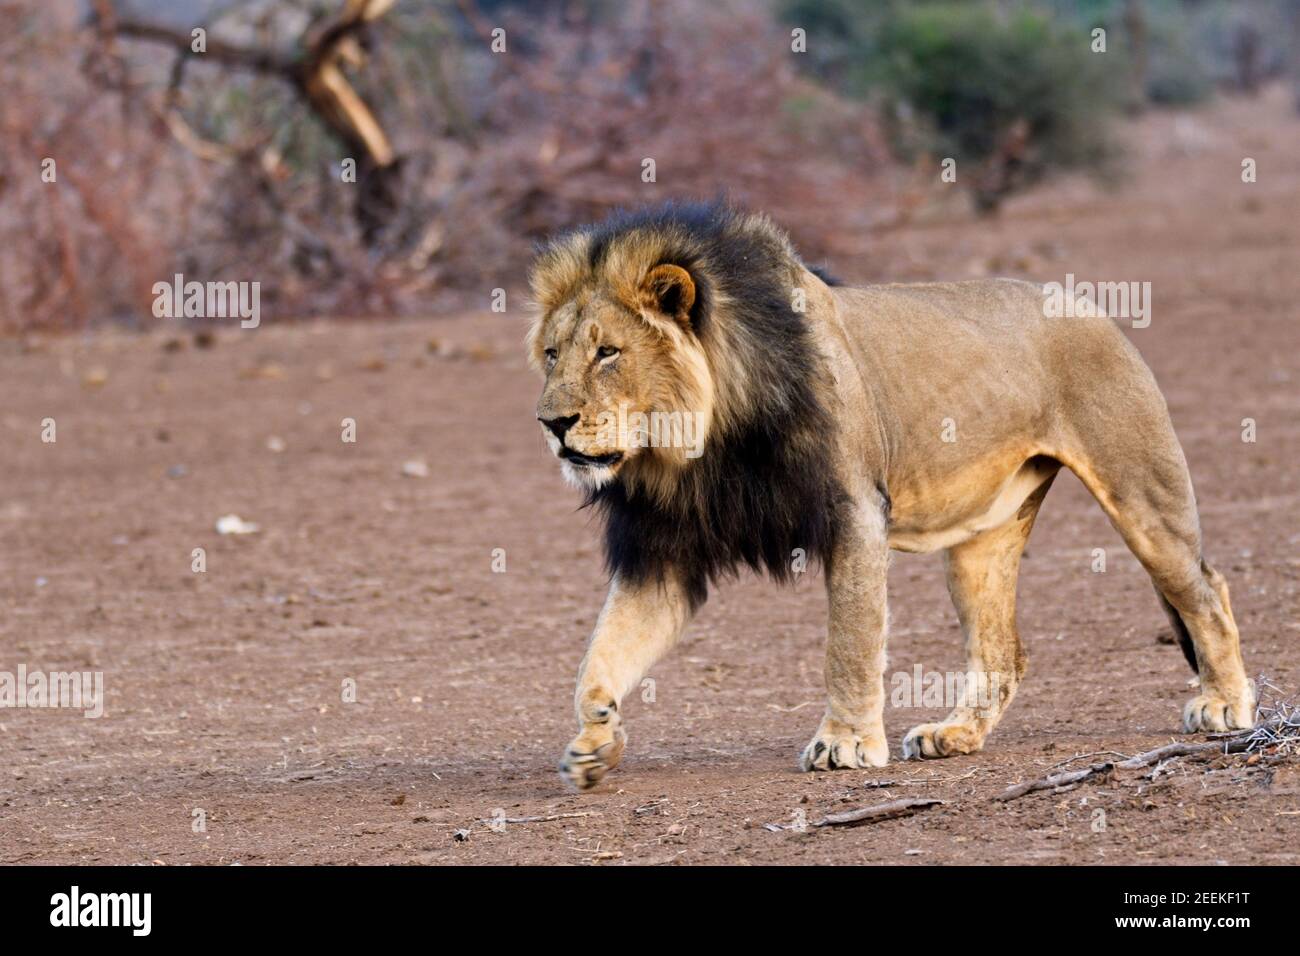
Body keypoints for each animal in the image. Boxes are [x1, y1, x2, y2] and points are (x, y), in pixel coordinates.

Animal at [527, 200, 1253, 790]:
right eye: (553, 354)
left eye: (609, 353)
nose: (551, 422)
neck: (699, 446)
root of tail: (1088, 305)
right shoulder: (663, 552)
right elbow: (601, 654)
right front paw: (594, 740)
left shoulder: (854, 511)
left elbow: (850, 643)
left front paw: (844, 744)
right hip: (980, 542)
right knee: (1003, 652)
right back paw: (954, 735)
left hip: (1140, 492)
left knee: (1206, 589)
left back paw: (1224, 705)